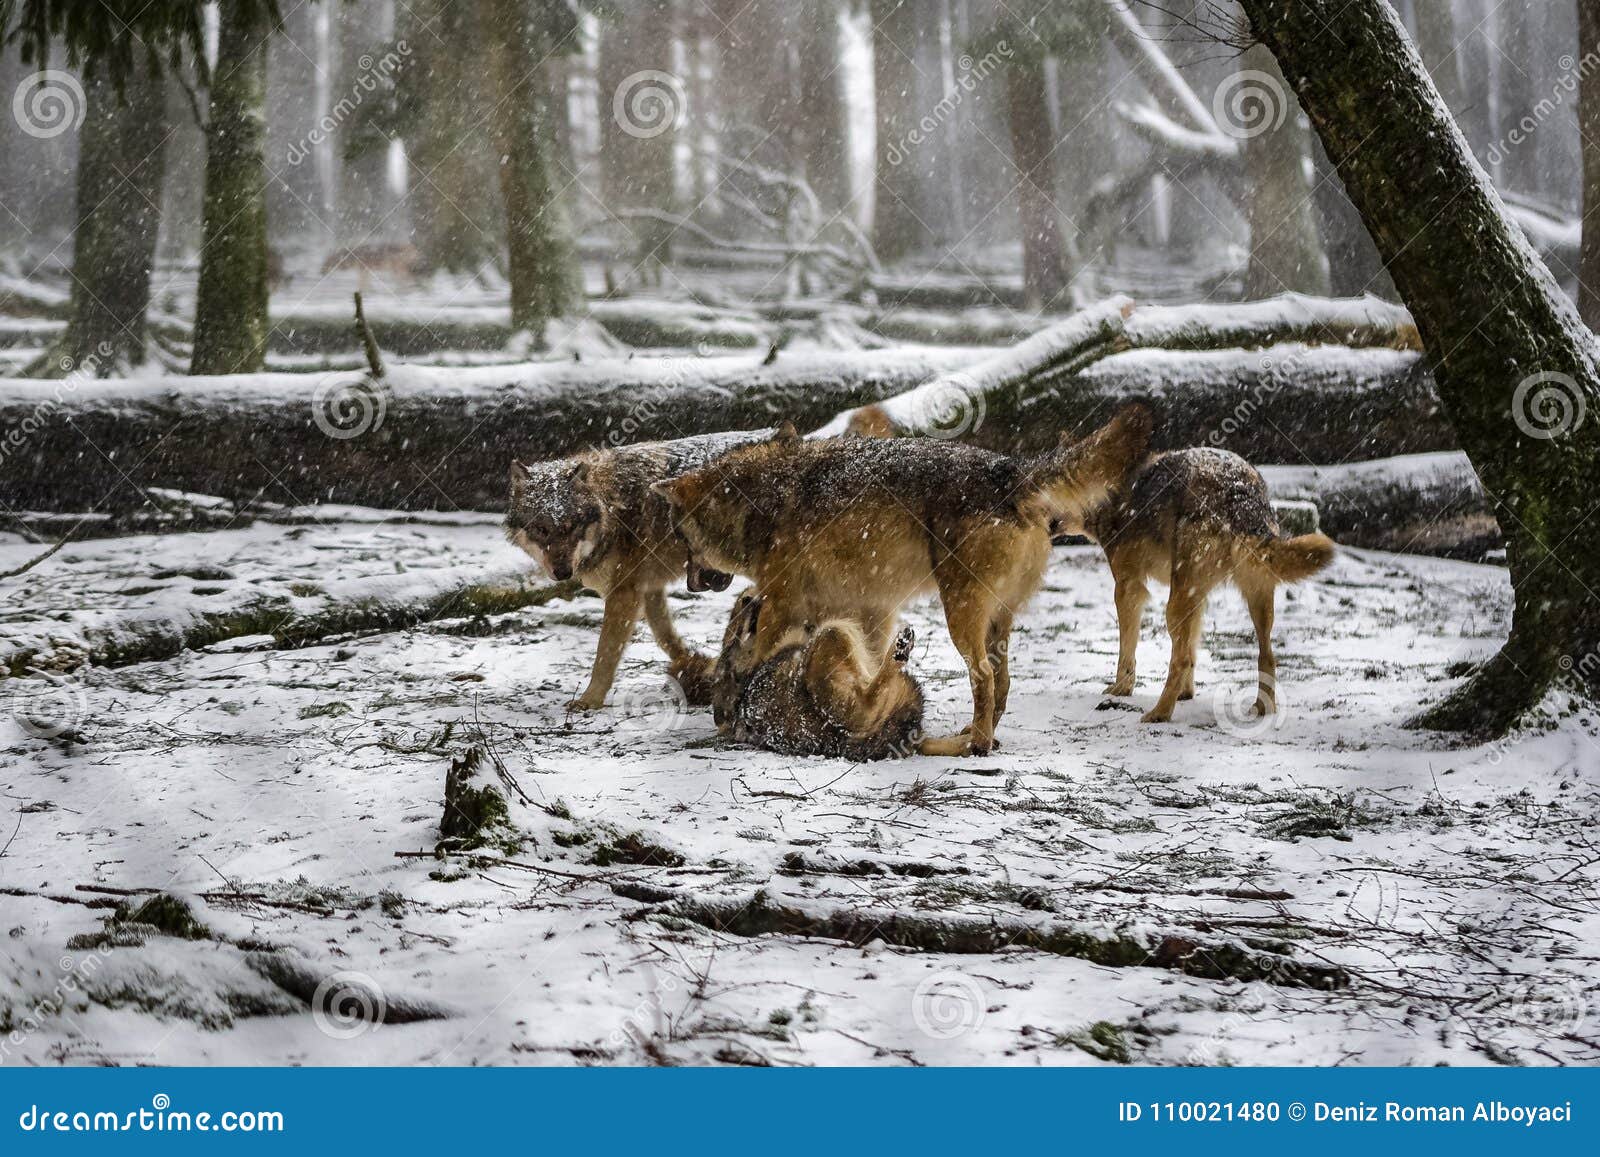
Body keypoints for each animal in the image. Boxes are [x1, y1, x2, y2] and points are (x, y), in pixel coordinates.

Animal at [505, 433, 753, 711]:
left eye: (571, 526)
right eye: (541, 529)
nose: (563, 572)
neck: (613, 507)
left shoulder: (624, 592)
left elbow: (605, 654)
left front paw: (590, 700)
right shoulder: (649, 586)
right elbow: (665, 636)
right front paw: (694, 665)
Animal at [1070, 446, 1336, 723]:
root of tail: (1239, 492)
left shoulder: (1128, 588)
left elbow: (1127, 650)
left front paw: (1120, 690)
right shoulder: (1197, 597)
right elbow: (1193, 648)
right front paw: (1186, 693)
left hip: (1174, 605)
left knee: (1181, 659)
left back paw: (1159, 713)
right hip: (1255, 596)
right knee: (1267, 657)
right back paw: (1261, 709)